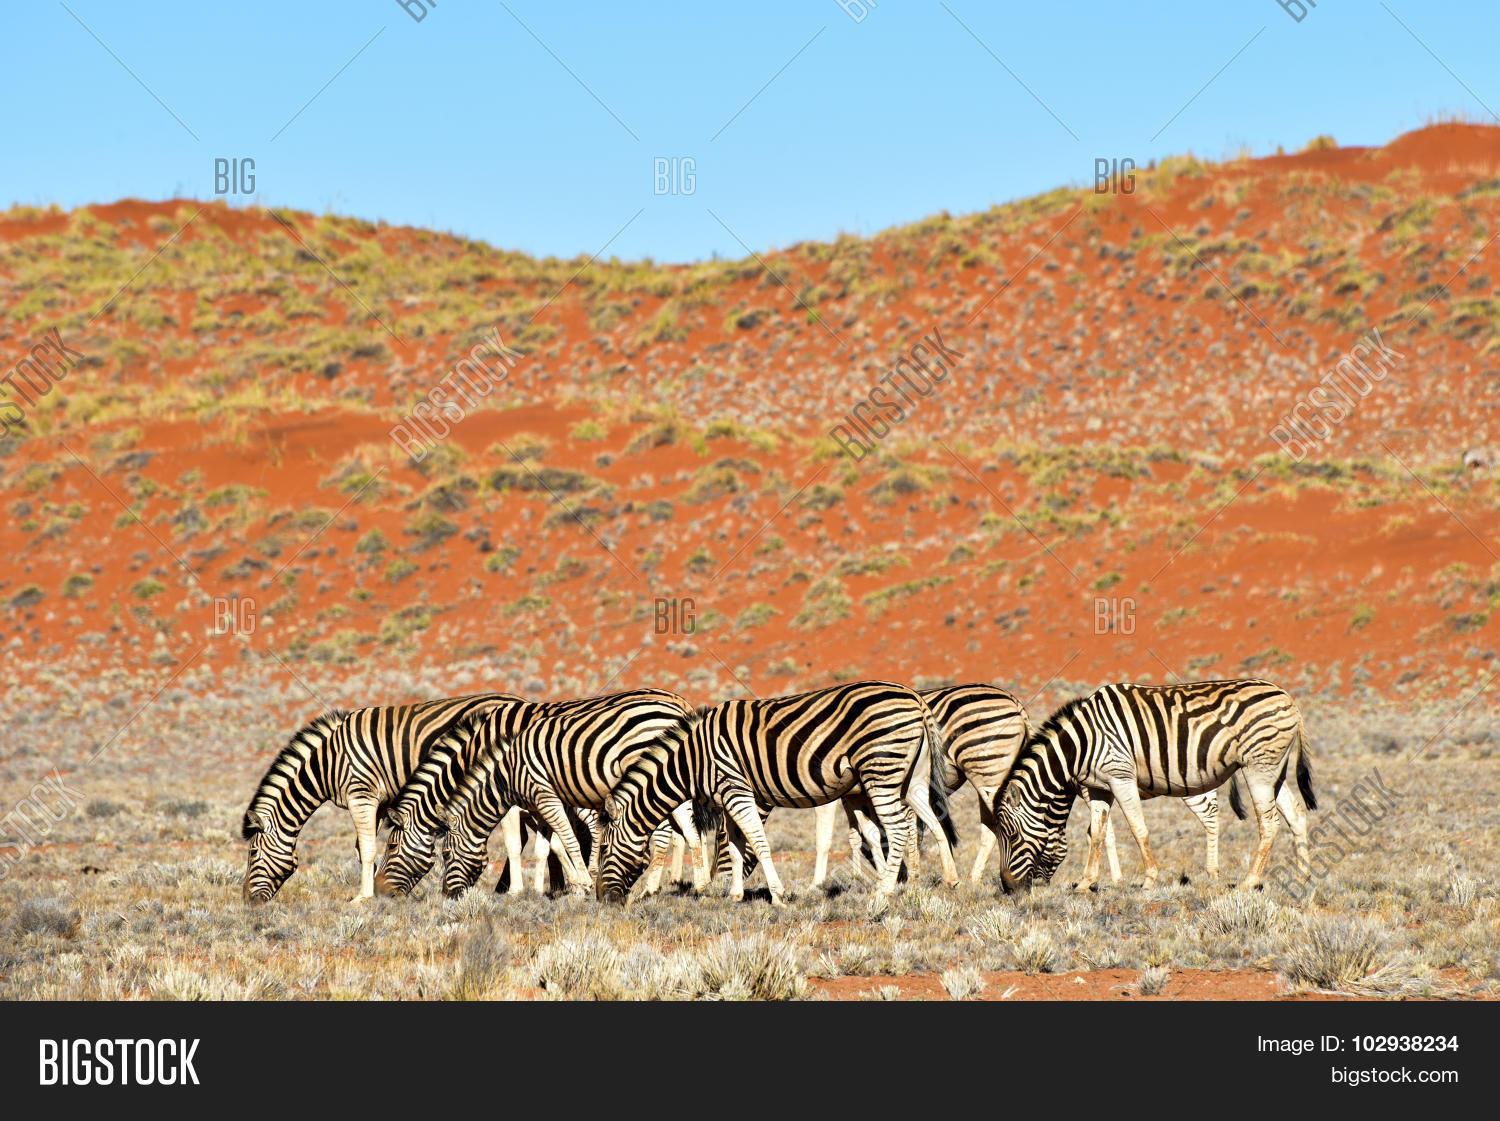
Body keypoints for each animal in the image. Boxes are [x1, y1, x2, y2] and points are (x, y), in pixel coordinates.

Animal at [241, 692, 510, 902]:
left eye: (252, 853)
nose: (247, 899)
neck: (328, 763)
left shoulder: (360, 795)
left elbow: (368, 848)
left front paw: (363, 898)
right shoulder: (379, 803)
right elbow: (362, 850)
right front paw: (370, 890)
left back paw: (510, 890)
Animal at [373, 688, 697, 897]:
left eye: (391, 847)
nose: (379, 892)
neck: (479, 746)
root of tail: (678, 701)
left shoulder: (514, 798)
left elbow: (517, 843)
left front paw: (517, 890)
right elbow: (550, 845)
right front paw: (557, 886)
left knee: (664, 832)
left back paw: (651, 887)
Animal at [595, 680, 953, 910]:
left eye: (604, 849)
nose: (601, 899)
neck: (693, 761)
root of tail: (914, 697)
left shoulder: (736, 789)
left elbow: (757, 841)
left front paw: (778, 896)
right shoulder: (729, 796)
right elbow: (735, 845)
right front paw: (735, 896)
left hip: (881, 770)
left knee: (899, 829)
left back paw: (883, 893)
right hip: (912, 777)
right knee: (931, 821)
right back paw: (947, 881)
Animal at [812, 682, 1028, 888]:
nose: (901, 875)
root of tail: (1014, 701)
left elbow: (826, 838)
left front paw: (818, 884)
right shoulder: (856, 793)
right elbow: (859, 835)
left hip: (987, 770)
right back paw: (975, 879)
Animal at [996, 679, 1315, 893]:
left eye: (1011, 836)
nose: (1007, 888)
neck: (1081, 745)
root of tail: (1288, 697)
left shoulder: (1120, 777)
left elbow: (1138, 829)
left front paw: (1148, 879)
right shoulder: (1098, 788)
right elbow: (1097, 833)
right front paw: (1087, 883)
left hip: (1258, 766)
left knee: (1268, 823)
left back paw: (1250, 881)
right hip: (1274, 769)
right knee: (1296, 814)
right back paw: (1303, 876)